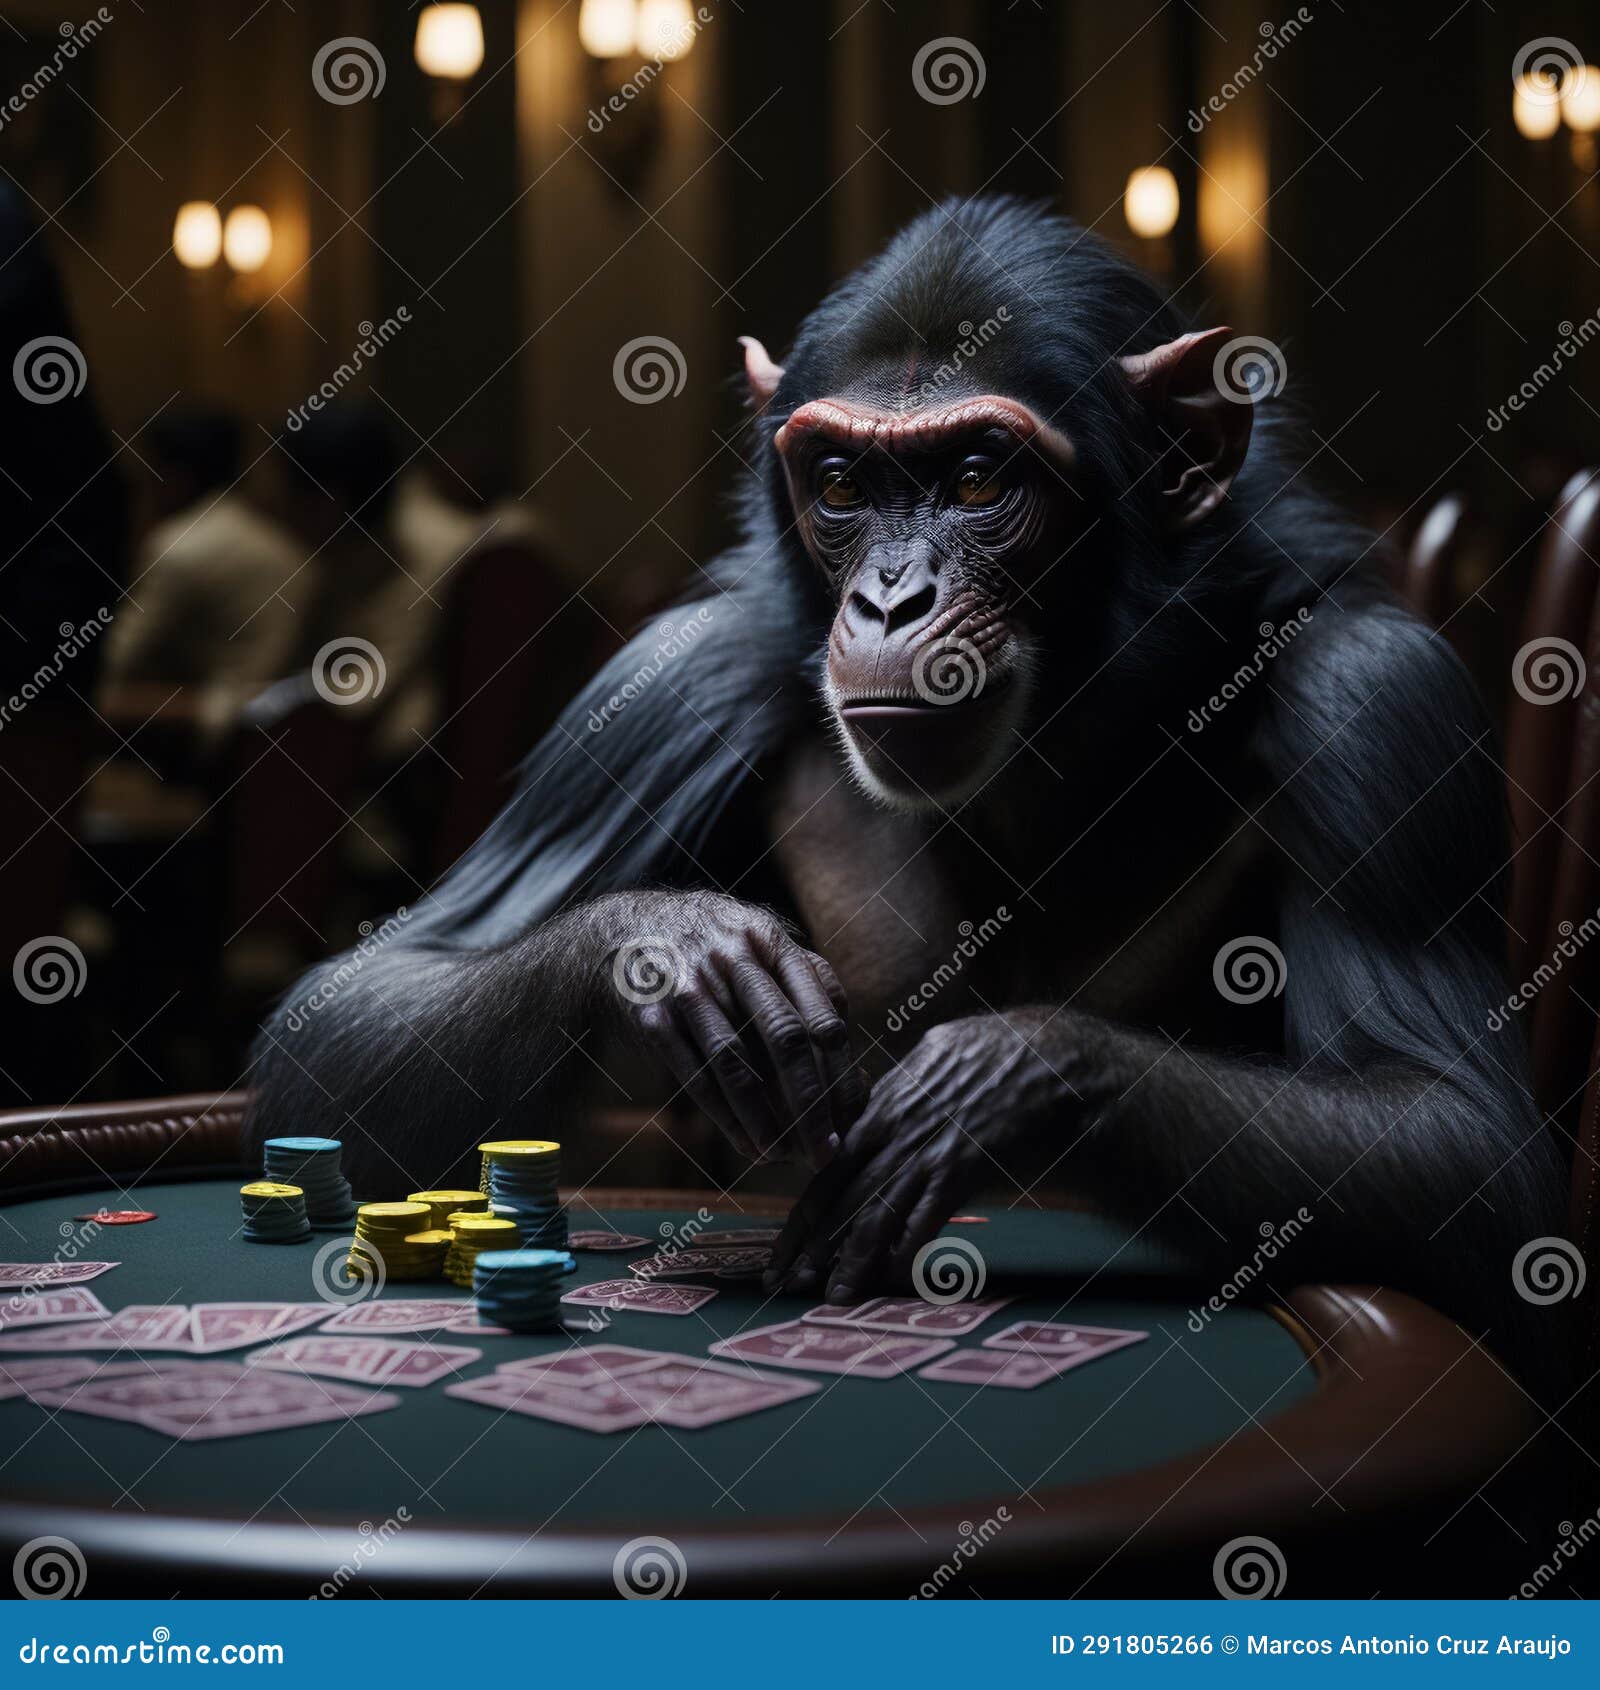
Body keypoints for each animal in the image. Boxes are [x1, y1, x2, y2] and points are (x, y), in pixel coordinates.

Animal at [248, 197, 1574, 1400]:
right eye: (843, 481)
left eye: (978, 476)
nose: (891, 597)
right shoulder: (666, 684)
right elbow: (354, 1013)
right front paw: (675, 948)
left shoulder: (1378, 704)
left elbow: (1460, 1141)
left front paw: (995, 1080)